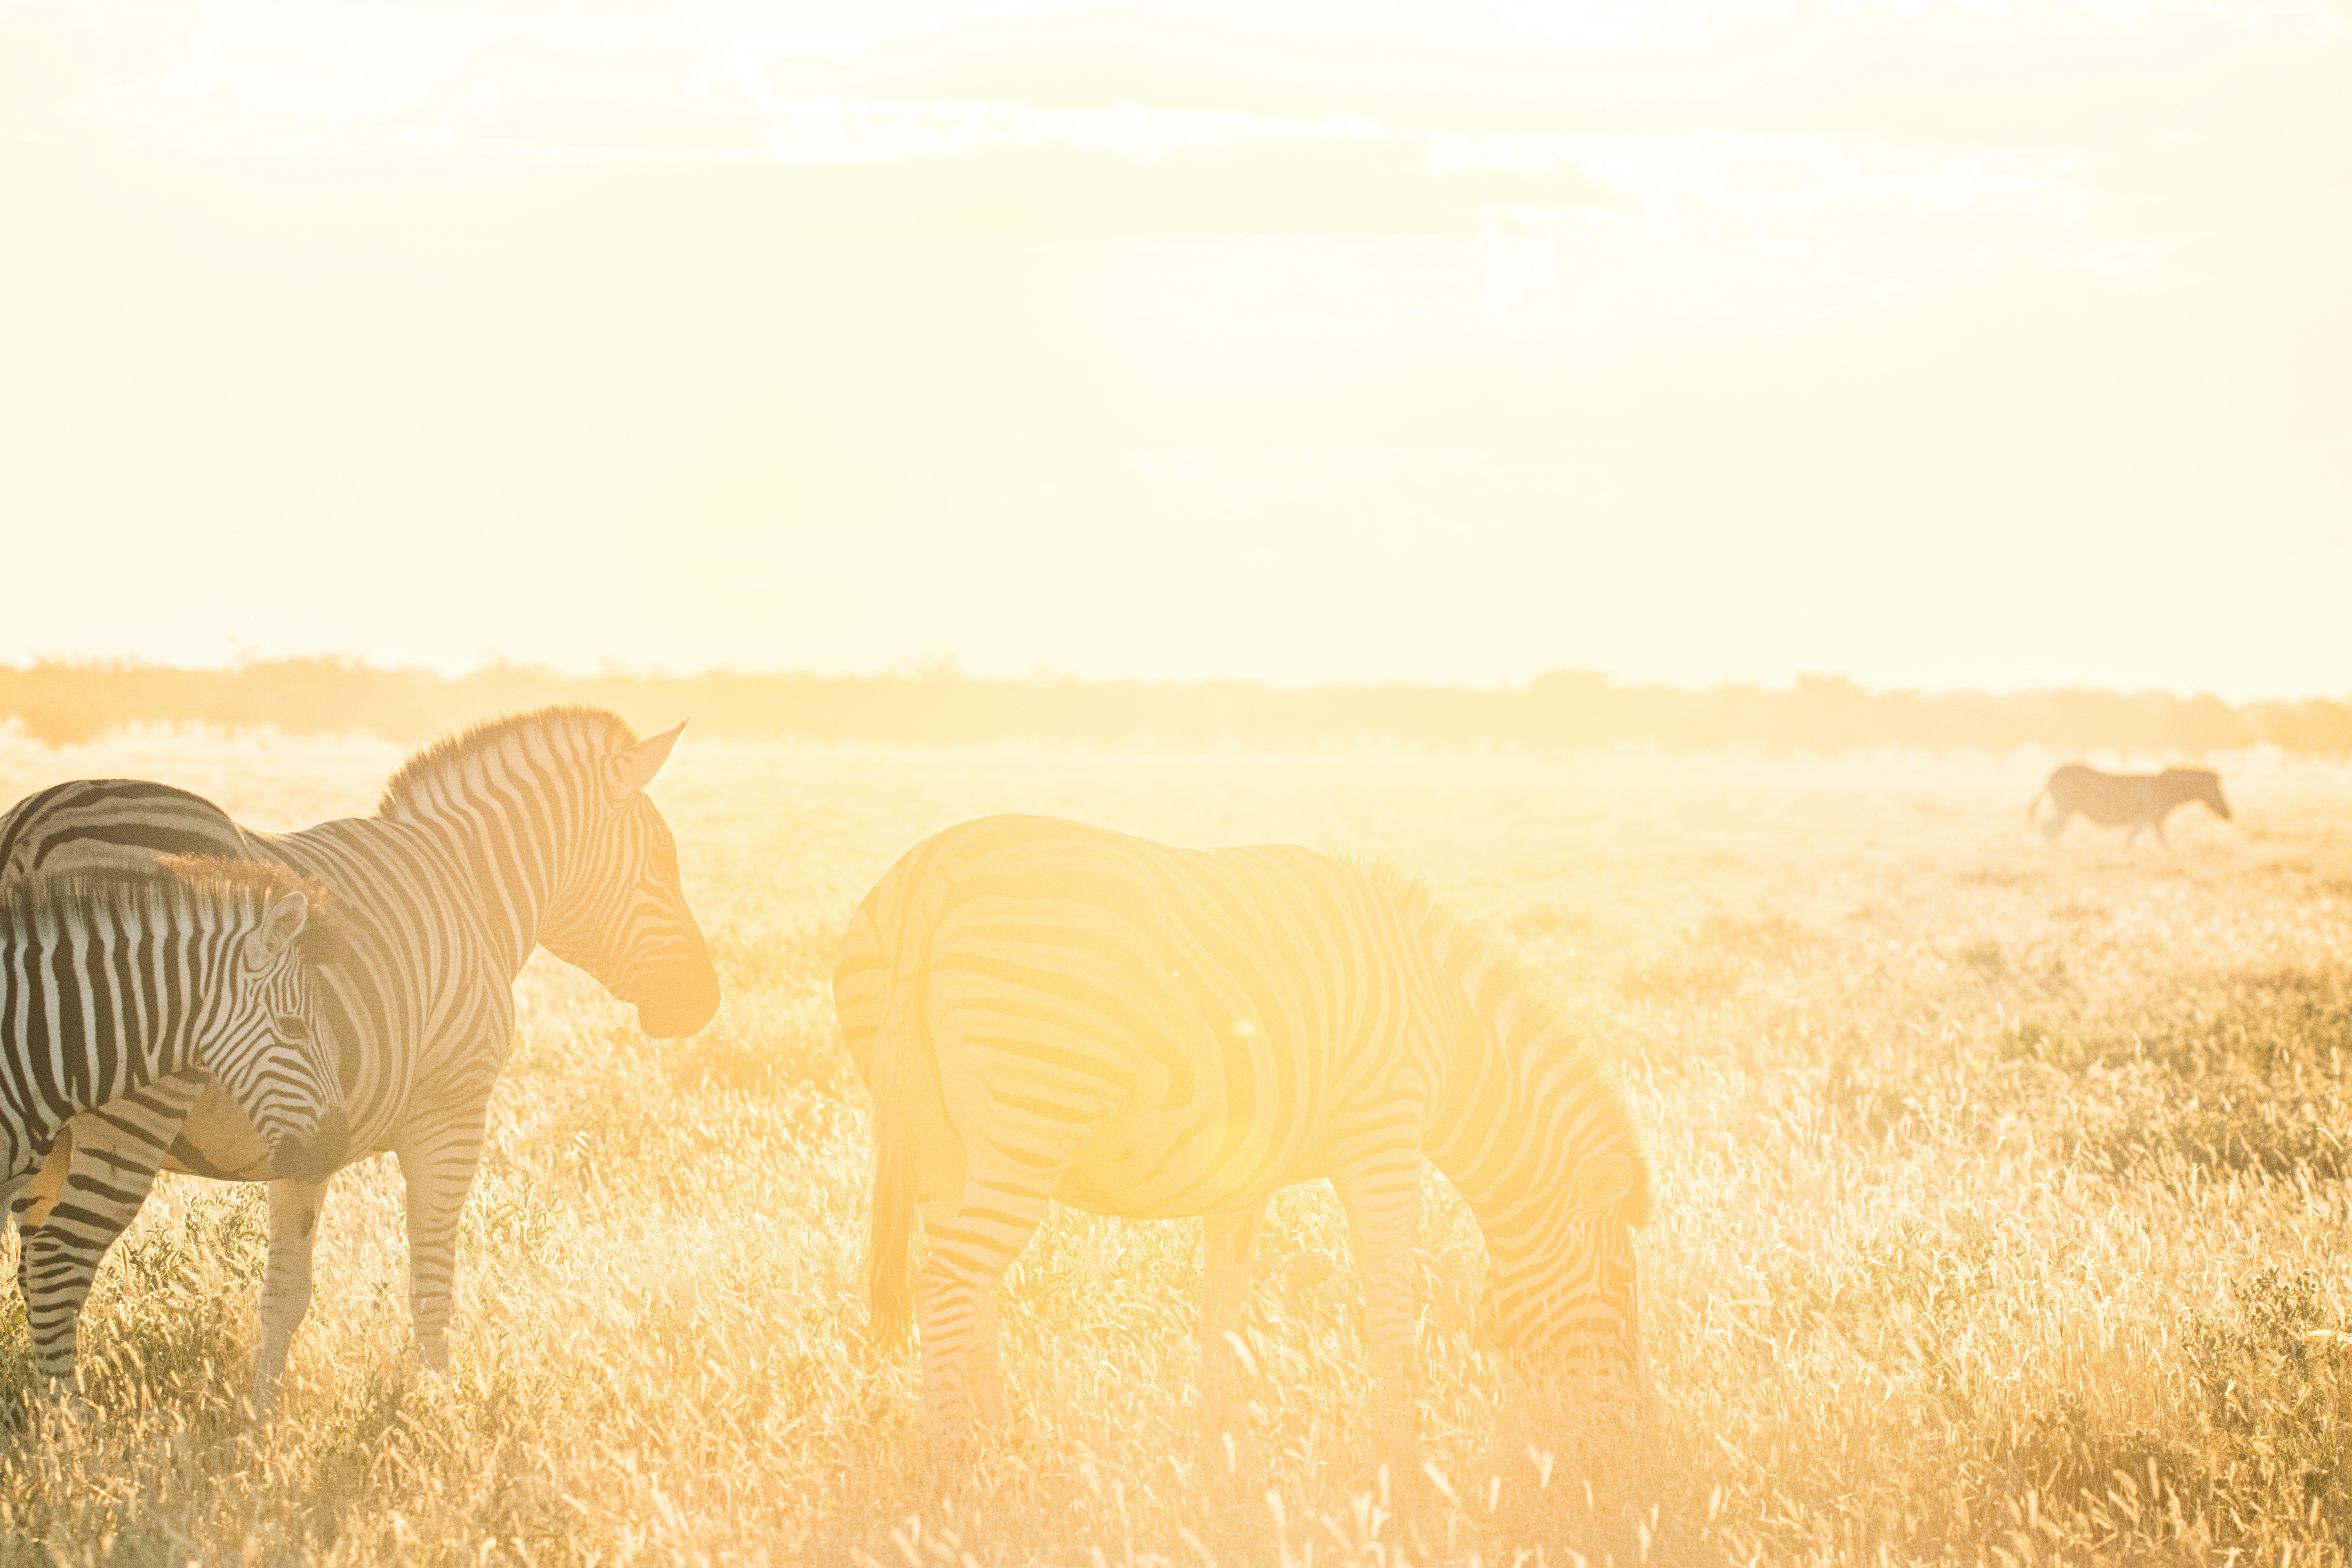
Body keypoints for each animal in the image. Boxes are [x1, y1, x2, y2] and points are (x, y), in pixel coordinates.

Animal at [833, 813, 1652, 1467]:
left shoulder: (1246, 1176)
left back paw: (1003, 1438)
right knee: (947, 1286)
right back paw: (956, 1465)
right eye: (1620, 1284)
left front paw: (1217, 1444)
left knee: (966, 1287)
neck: (1453, 1045)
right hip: (1031, 1119)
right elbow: (1391, 1295)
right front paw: (1402, 1452)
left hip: (939, 1141)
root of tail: (934, 869)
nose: (1623, 1437)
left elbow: (1224, 1305)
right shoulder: (1384, 1132)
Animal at [2029, 763, 2233, 847]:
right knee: (2049, 830)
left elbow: (2166, 846)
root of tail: (2054, 774)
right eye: (2220, 792)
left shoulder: (2157, 821)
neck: (2168, 789)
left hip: (2065, 810)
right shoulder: (2147, 817)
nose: (2230, 815)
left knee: (2052, 831)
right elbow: (2130, 842)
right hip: (2067, 809)